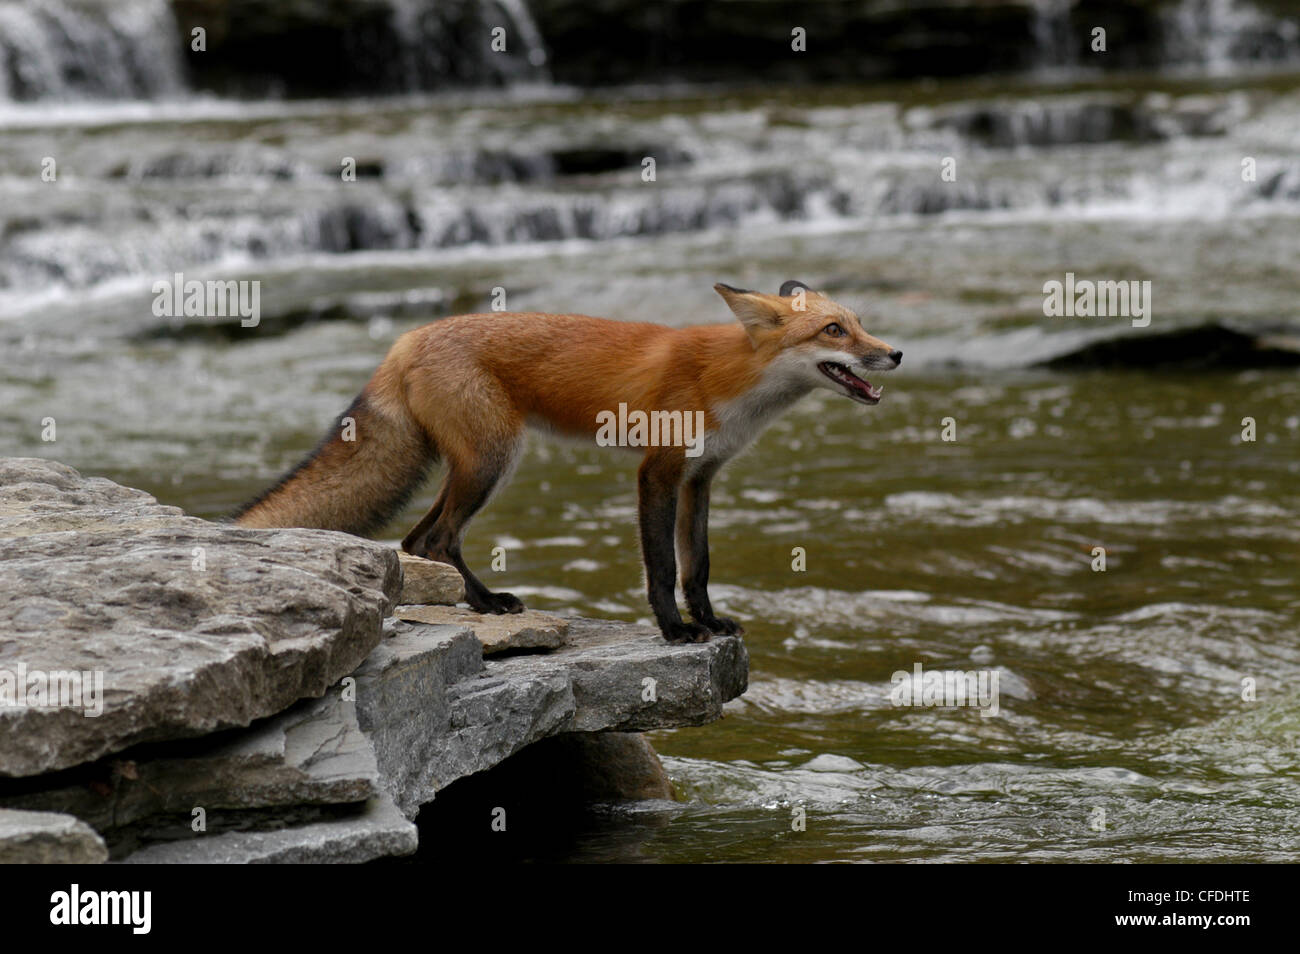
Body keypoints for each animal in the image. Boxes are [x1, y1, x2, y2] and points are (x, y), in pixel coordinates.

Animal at [233, 280, 901, 643]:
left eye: (860, 324)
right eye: (834, 330)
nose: (895, 353)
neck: (729, 380)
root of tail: (405, 339)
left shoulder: (702, 477)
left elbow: (698, 567)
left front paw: (709, 622)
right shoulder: (657, 471)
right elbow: (662, 568)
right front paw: (675, 631)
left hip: (479, 465)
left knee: (417, 540)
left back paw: (479, 603)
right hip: (494, 461)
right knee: (437, 538)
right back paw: (488, 604)